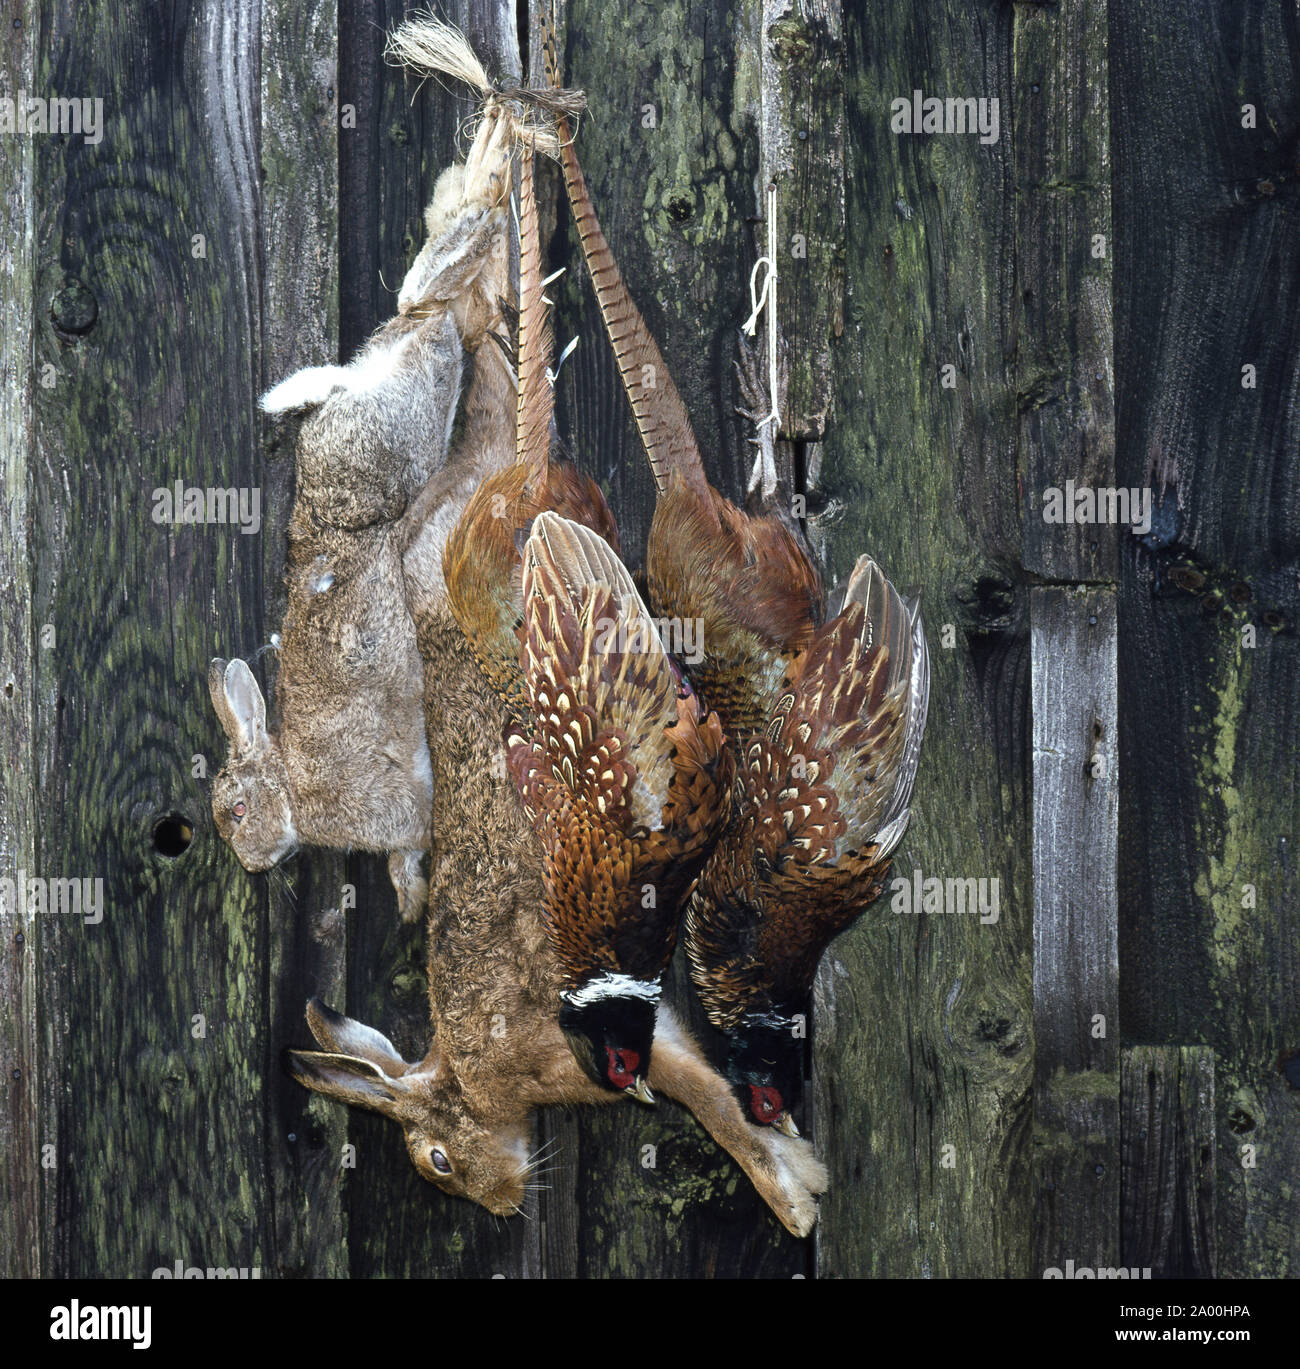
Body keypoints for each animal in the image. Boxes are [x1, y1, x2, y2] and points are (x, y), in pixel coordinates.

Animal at [209, 105, 517, 920]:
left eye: (238, 812)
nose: (252, 865)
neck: (291, 786)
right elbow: (405, 857)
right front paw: (410, 898)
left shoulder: (392, 808)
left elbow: (411, 833)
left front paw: (414, 897)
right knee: (424, 307)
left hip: (396, 445)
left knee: (425, 303)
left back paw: (487, 189)